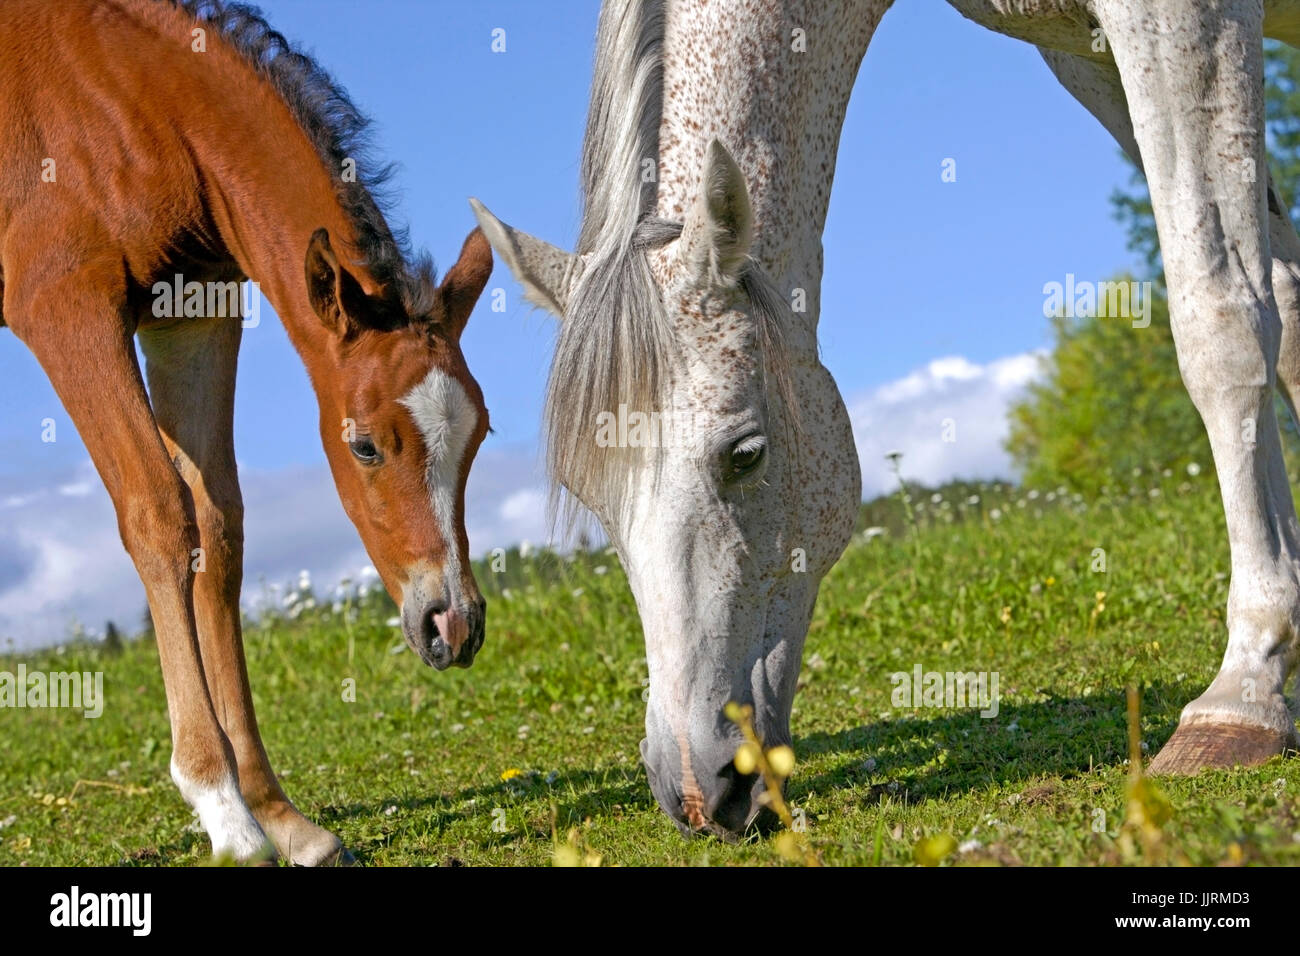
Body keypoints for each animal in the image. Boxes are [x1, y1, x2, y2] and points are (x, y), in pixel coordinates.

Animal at [0, 0, 493, 864]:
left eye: (483, 437)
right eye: (365, 445)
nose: (452, 624)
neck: (130, 98)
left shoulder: (193, 310)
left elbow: (218, 530)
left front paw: (281, 815)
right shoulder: (64, 307)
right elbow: (158, 516)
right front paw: (221, 805)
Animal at [476, 0, 1300, 838]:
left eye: (745, 454)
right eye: (592, 500)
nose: (698, 791)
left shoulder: (1182, 24)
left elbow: (1224, 322)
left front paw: (1243, 697)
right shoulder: (1085, 52)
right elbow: (1285, 299)